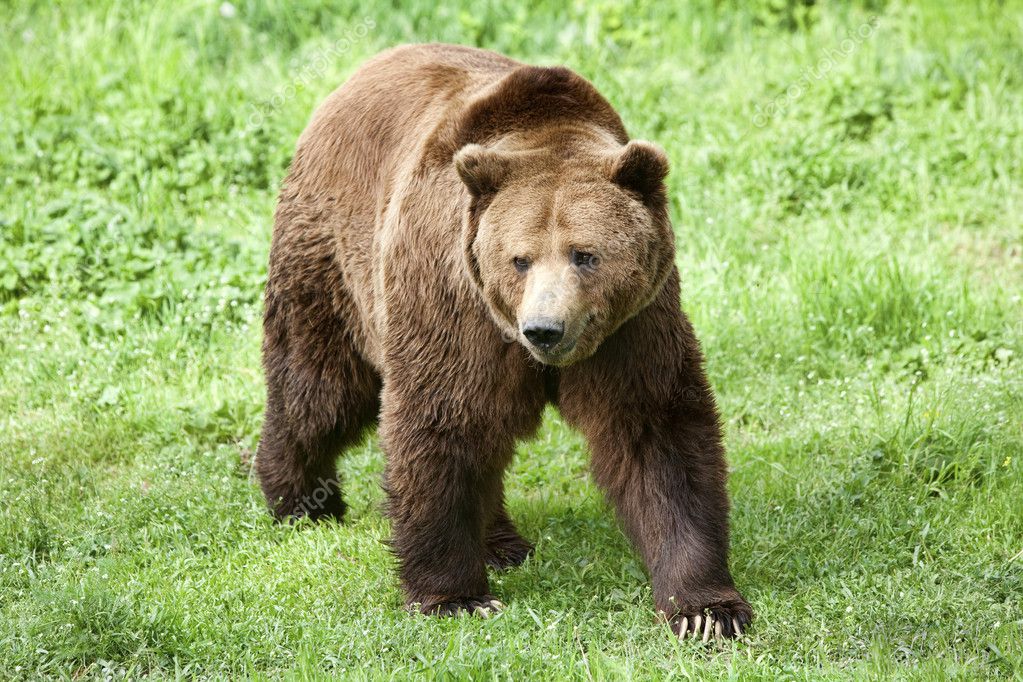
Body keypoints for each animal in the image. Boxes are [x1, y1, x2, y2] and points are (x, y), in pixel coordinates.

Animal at [255, 43, 752, 640]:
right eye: (520, 258)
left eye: (585, 254)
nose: (544, 328)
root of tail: (358, 73)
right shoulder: (455, 298)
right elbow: (442, 419)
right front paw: (456, 597)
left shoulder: (632, 325)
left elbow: (657, 431)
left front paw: (706, 610)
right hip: (335, 262)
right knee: (321, 387)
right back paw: (301, 500)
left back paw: (500, 543)